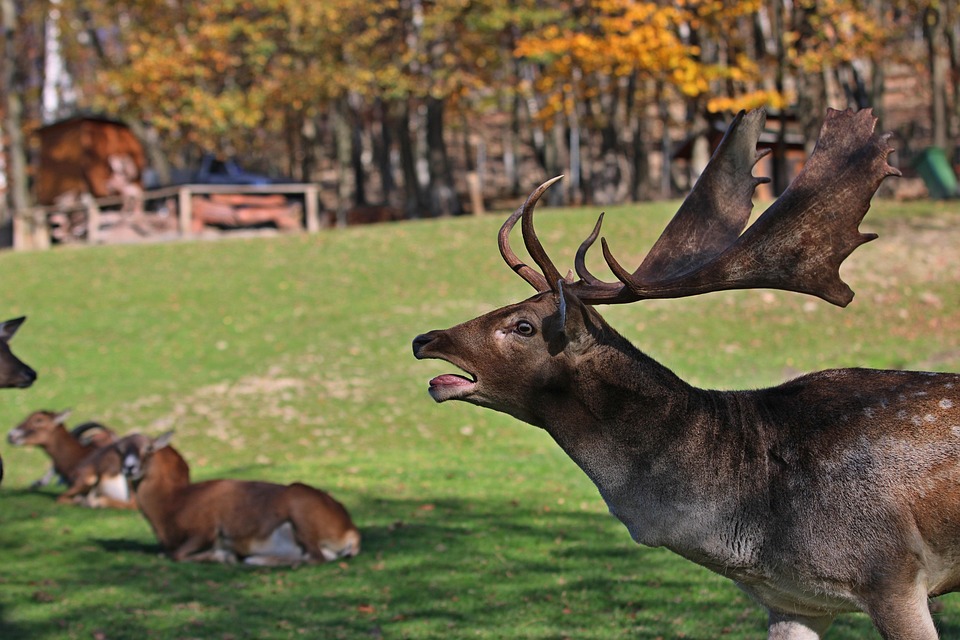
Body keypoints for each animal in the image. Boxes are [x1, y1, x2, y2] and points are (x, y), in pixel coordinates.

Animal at [117, 431, 361, 565]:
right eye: (120, 450)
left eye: (149, 448)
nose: (129, 468)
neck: (175, 501)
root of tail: (349, 529)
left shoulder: (203, 533)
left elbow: (175, 555)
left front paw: (223, 557)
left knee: (315, 558)